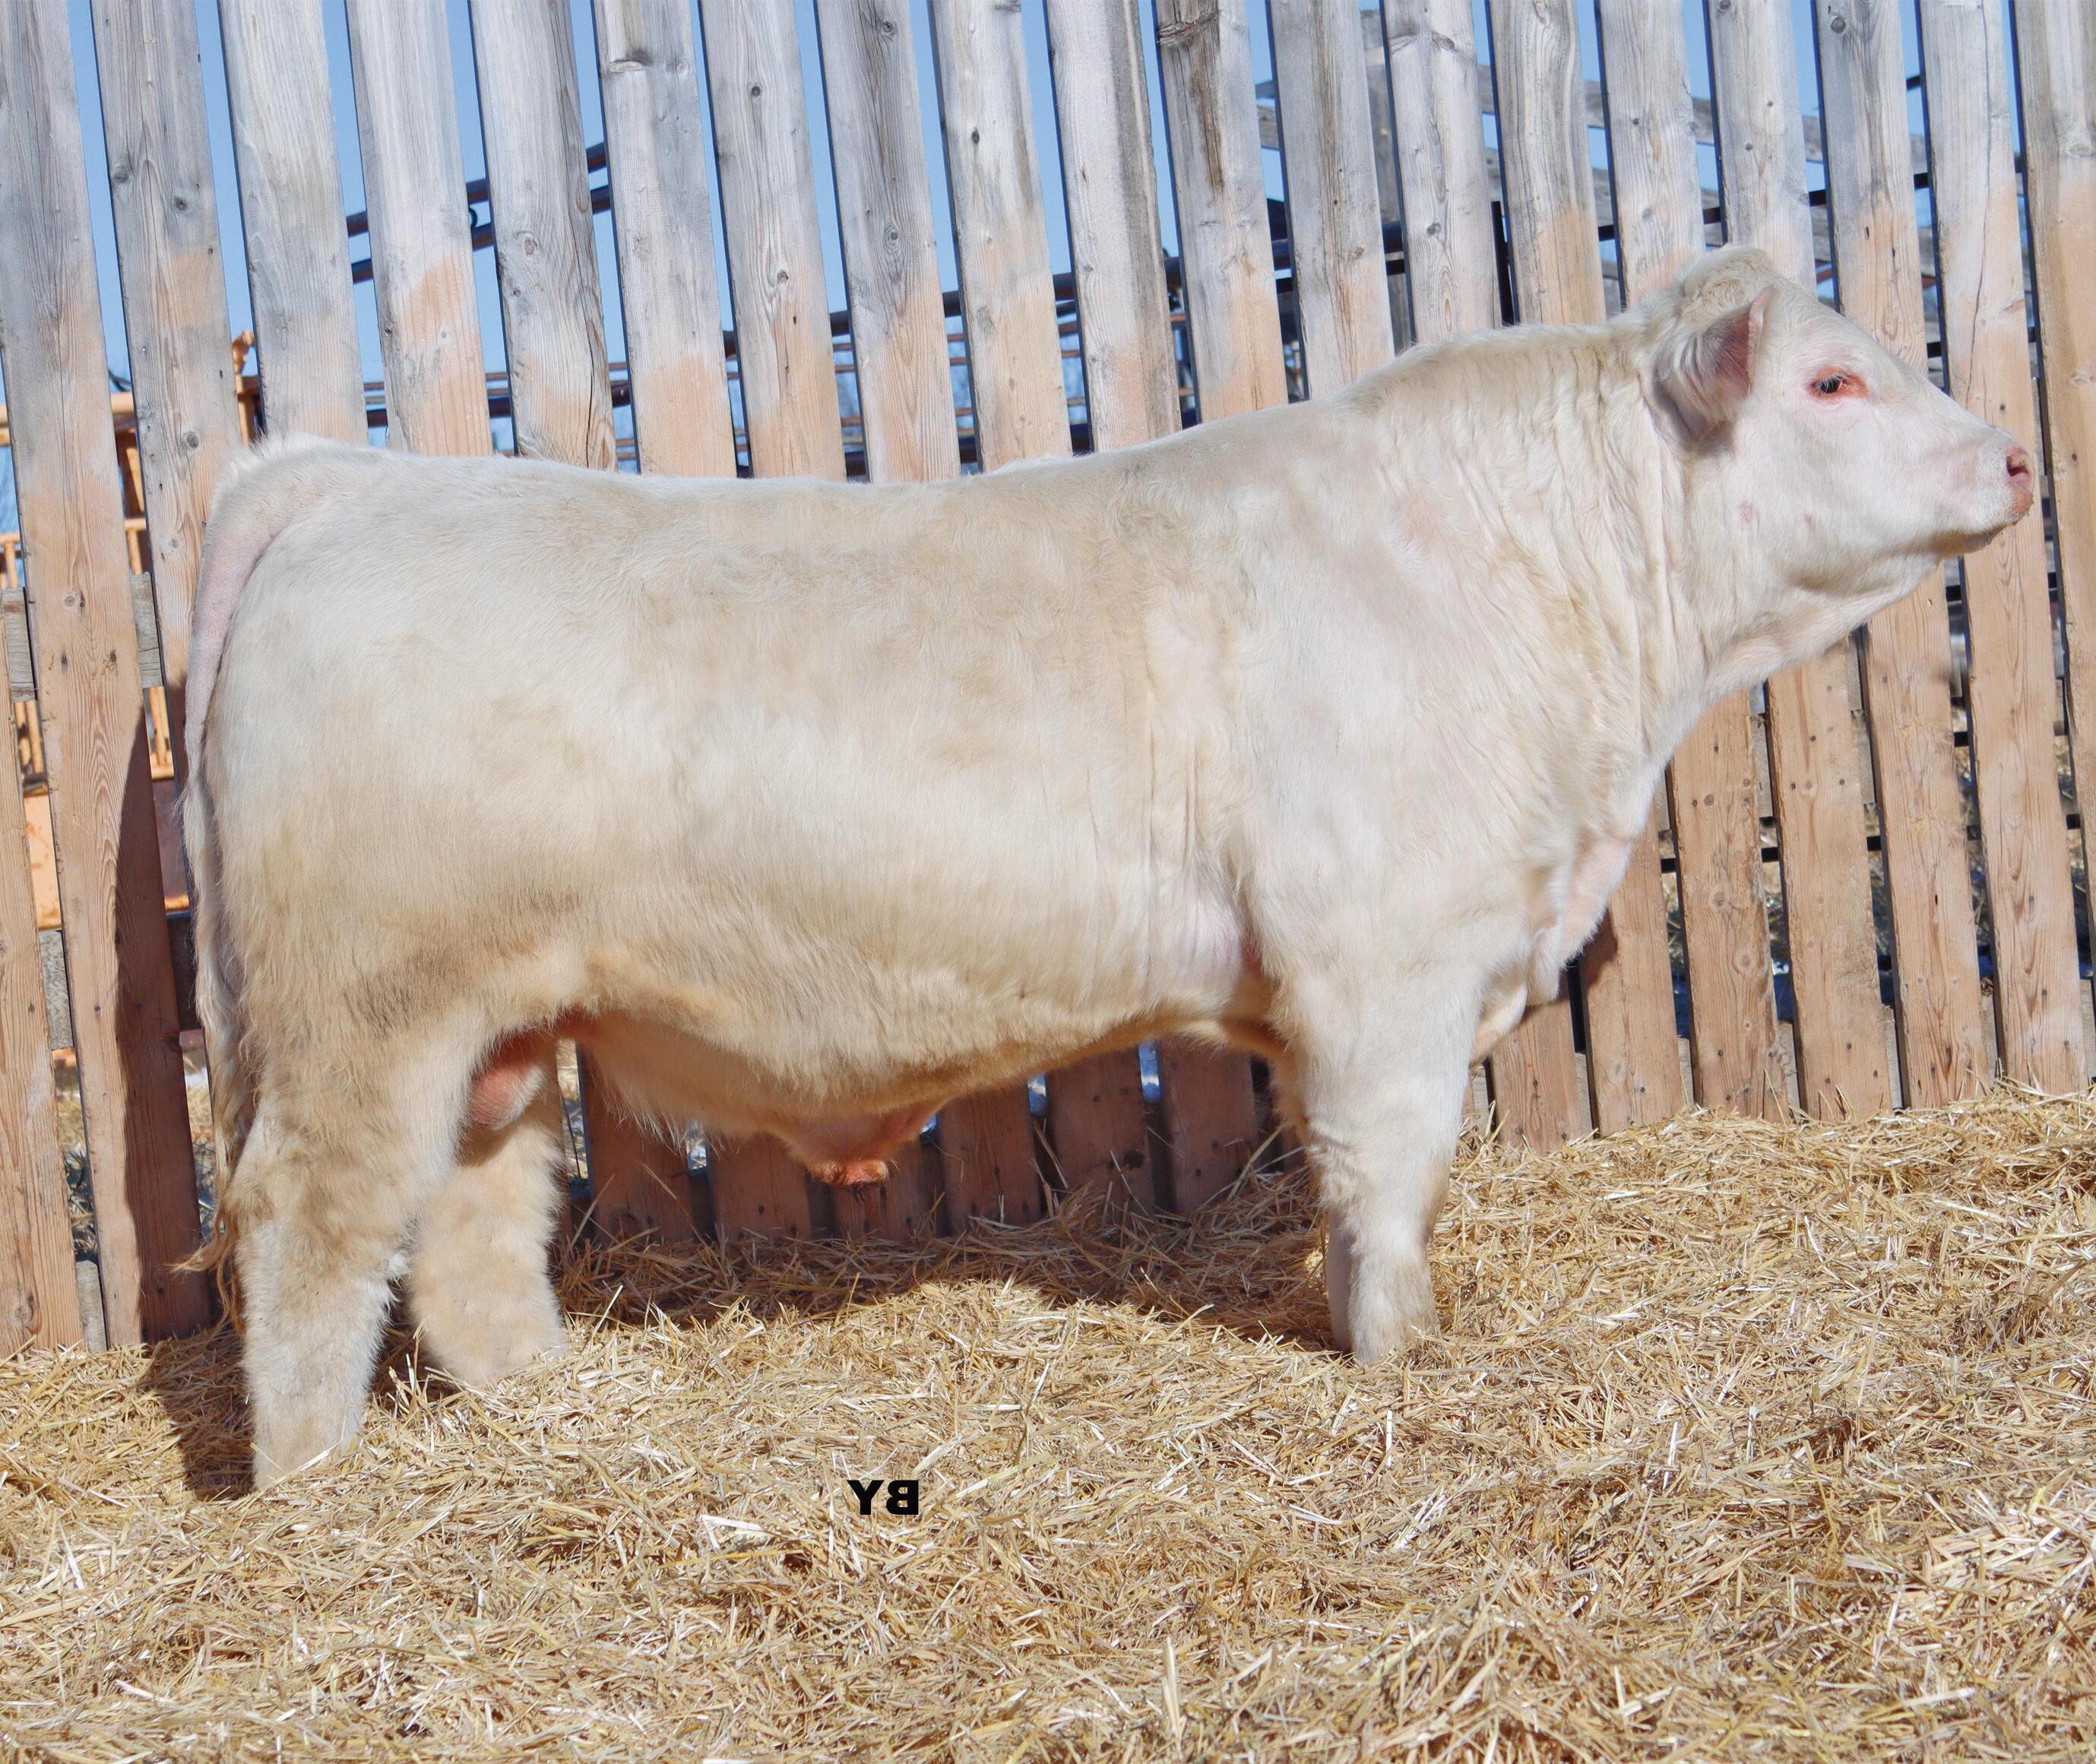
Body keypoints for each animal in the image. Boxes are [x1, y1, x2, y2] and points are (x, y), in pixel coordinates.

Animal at [182, 246, 2033, 1482]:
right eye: (1831, 382)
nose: (2015, 452)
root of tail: (343, 476)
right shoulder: (1386, 964)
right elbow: (1389, 1169)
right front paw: (1396, 1356)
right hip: (367, 1005)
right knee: (307, 1220)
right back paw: (312, 1482)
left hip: (491, 1022)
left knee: (469, 1221)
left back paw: (543, 1405)